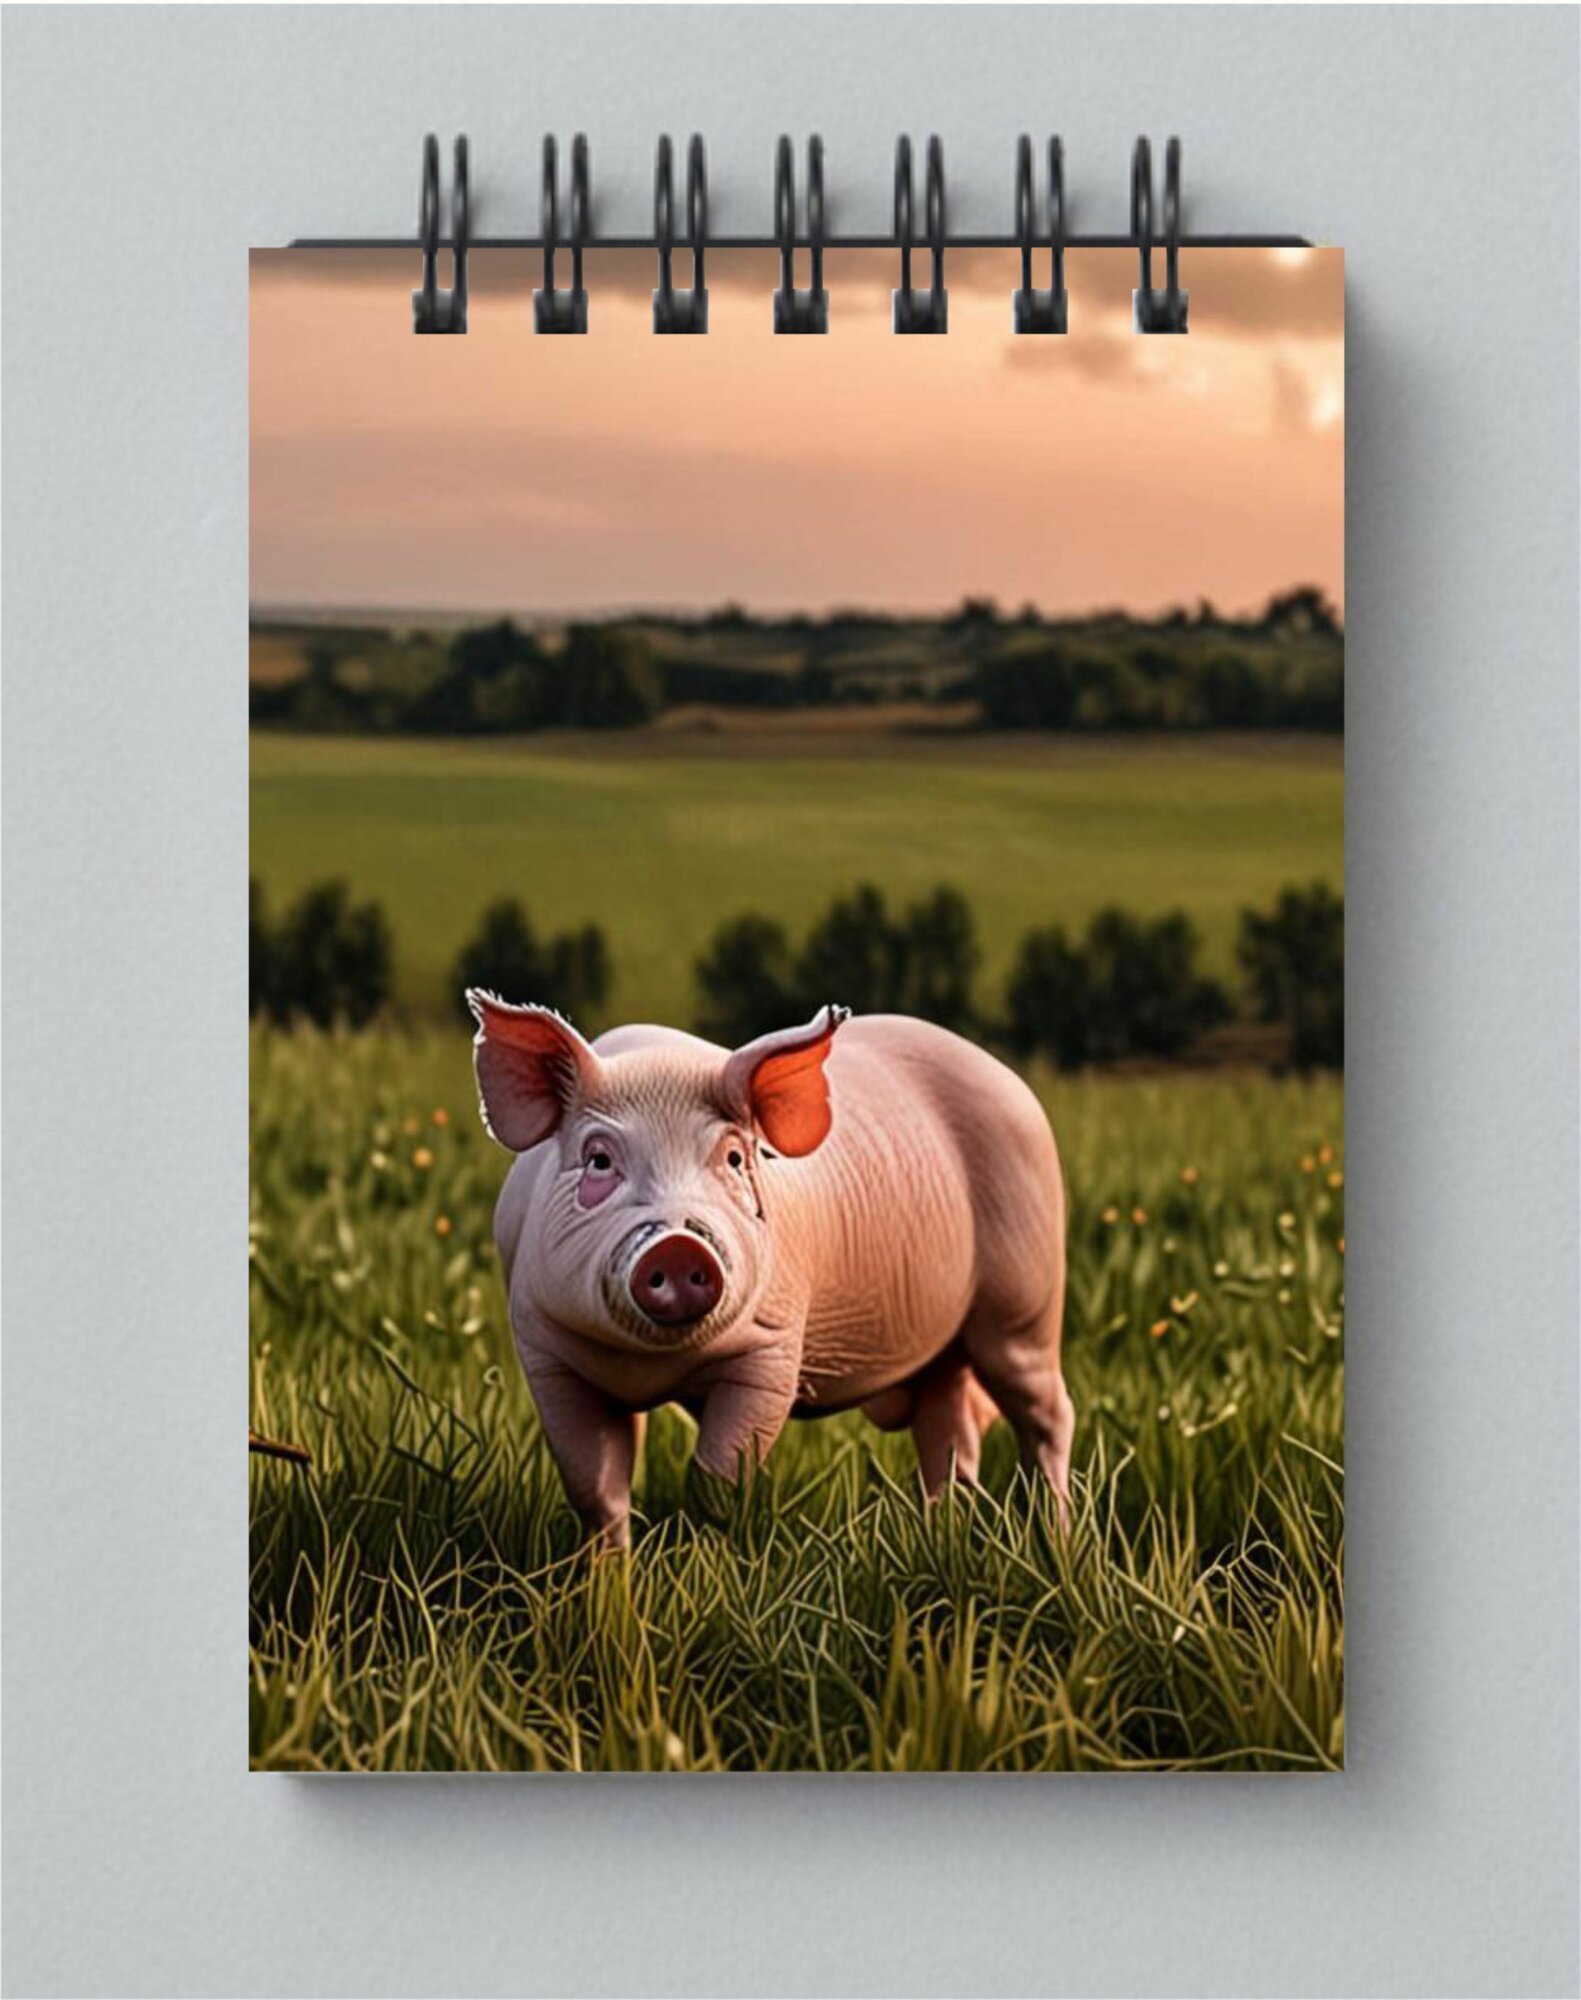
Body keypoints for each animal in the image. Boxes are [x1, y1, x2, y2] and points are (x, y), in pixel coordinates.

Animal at [469, 992, 1073, 1545]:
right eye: (599, 1160)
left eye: (735, 1158)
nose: (678, 1246)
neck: (653, 1366)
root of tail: (1013, 1082)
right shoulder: (546, 1350)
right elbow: (596, 1488)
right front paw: (610, 1580)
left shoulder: (772, 1348)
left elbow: (714, 1481)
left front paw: (703, 1560)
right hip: (945, 1343)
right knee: (948, 1430)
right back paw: (940, 1530)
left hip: (1024, 1298)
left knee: (1047, 1415)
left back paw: (1055, 1536)